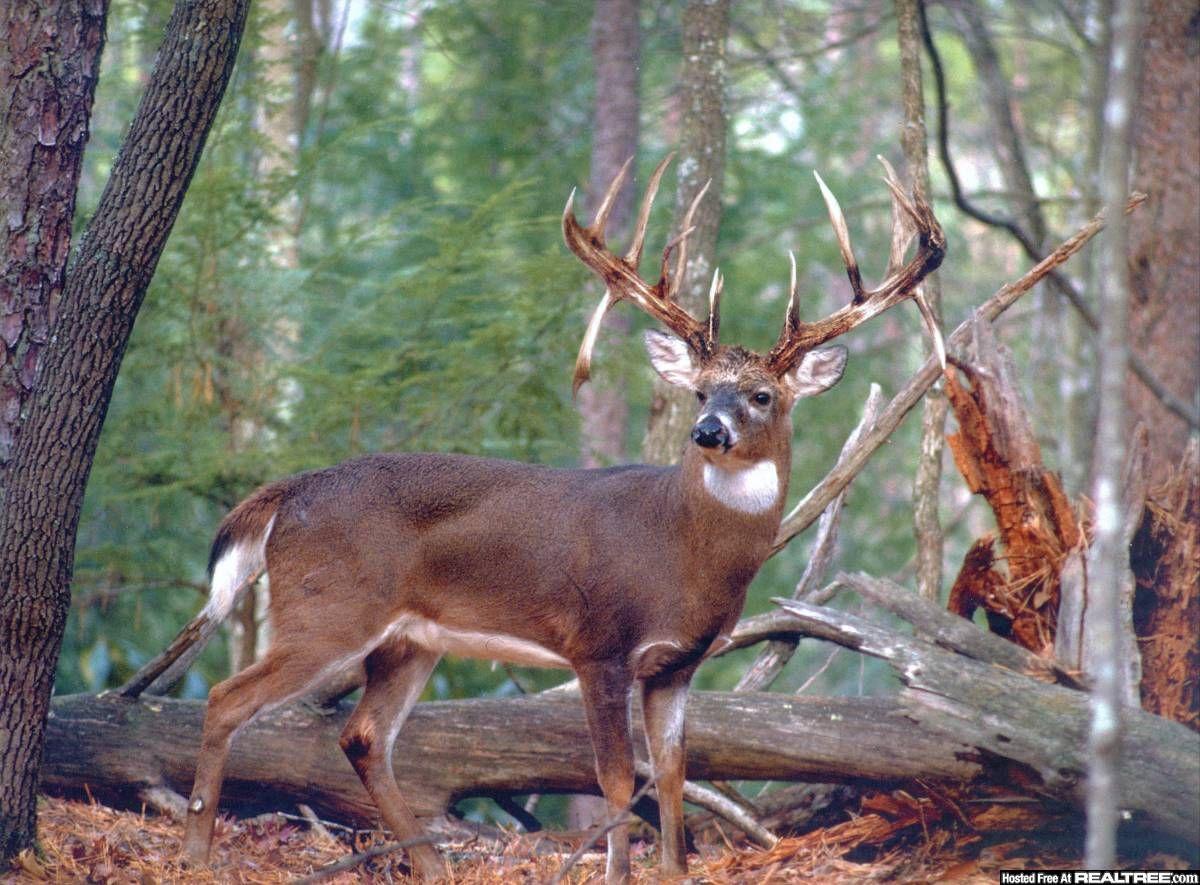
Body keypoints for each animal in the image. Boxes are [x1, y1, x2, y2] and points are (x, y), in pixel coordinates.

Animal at [180, 154, 944, 882]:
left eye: (761, 395)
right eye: (701, 390)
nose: (707, 432)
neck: (683, 554)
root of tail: (287, 491)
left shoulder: (677, 662)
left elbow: (673, 772)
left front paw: (673, 870)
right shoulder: (598, 641)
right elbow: (616, 778)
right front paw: (616, 873)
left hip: (408, 639)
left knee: (362, 735)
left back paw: (432, 865)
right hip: (329, 607)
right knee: (225, 696)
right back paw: (195, 851)